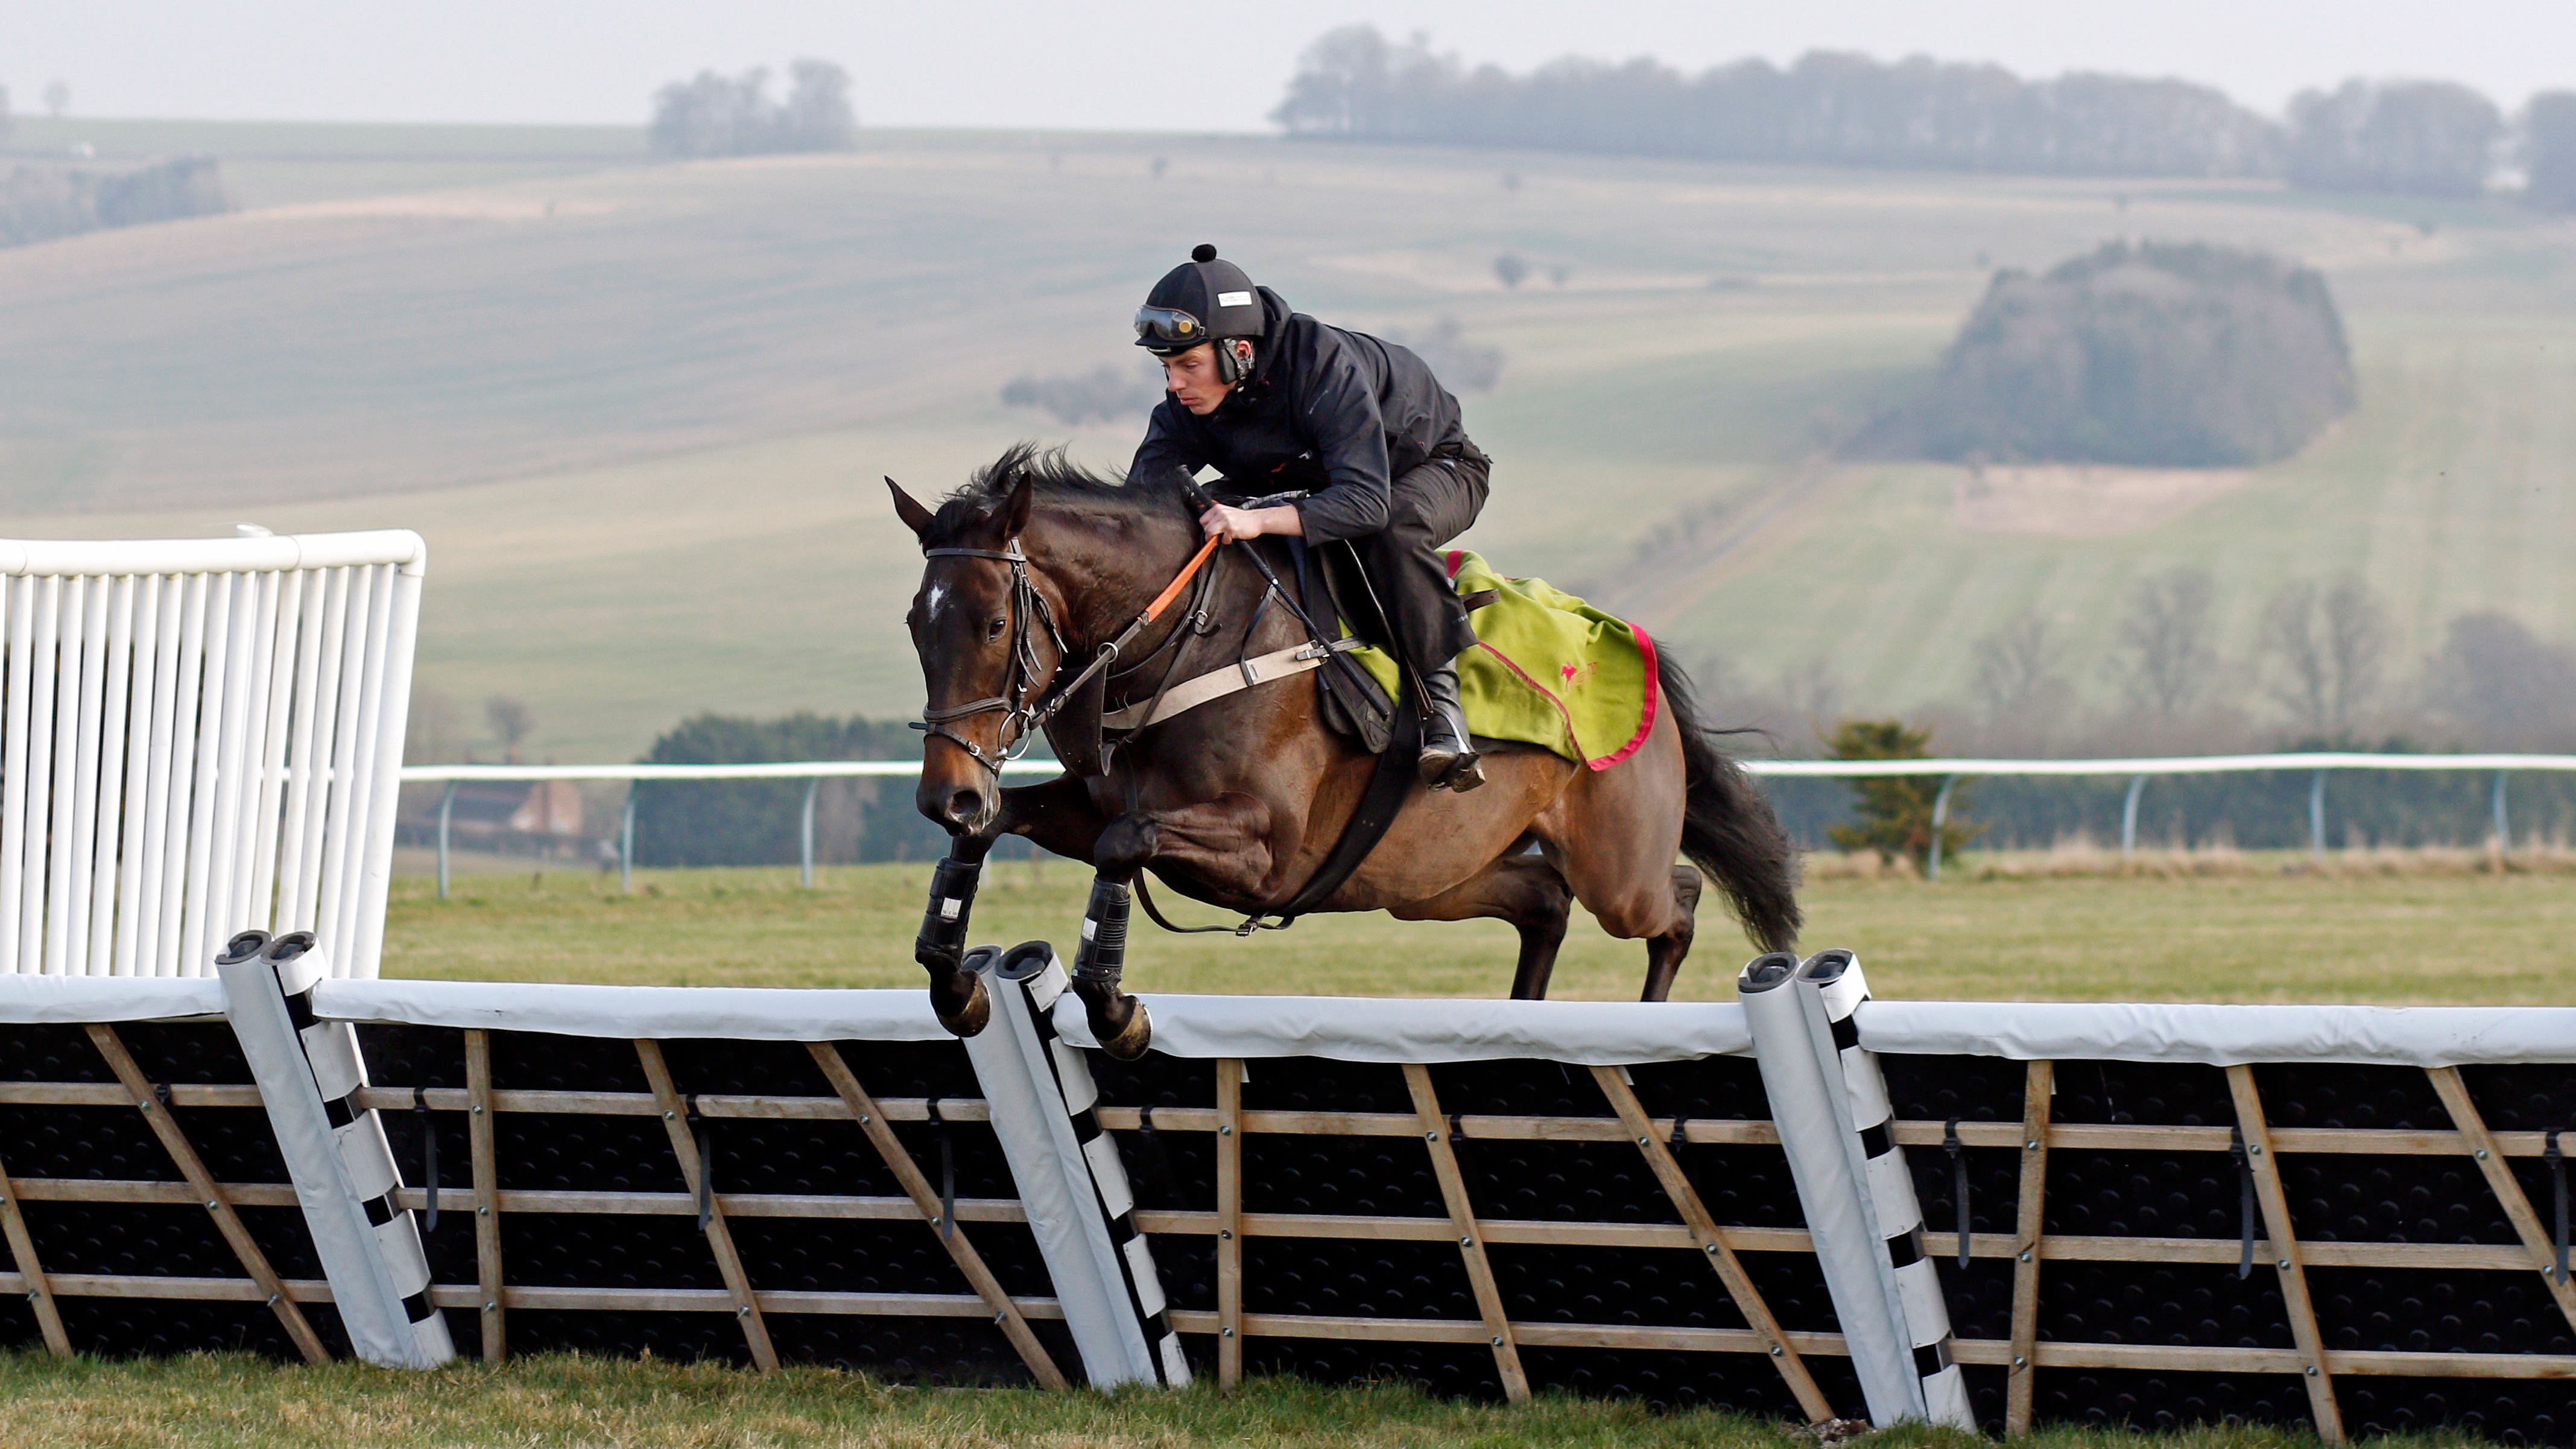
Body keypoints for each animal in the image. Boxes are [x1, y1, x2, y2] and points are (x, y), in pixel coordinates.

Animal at [890, 444, 1800, 1059]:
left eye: (994, 625)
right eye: (913, 626)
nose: (944, 791)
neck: (1185, 637)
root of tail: (1627, 642)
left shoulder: (1265, 848)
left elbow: (1123, 843)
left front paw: (1114, 1010)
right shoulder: (1100, 803)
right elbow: (1001, 829)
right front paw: (953, 981)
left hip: (1617, 867)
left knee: (1673, 902)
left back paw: (1649, 1020)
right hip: (1426, 877)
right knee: (1543, 899)